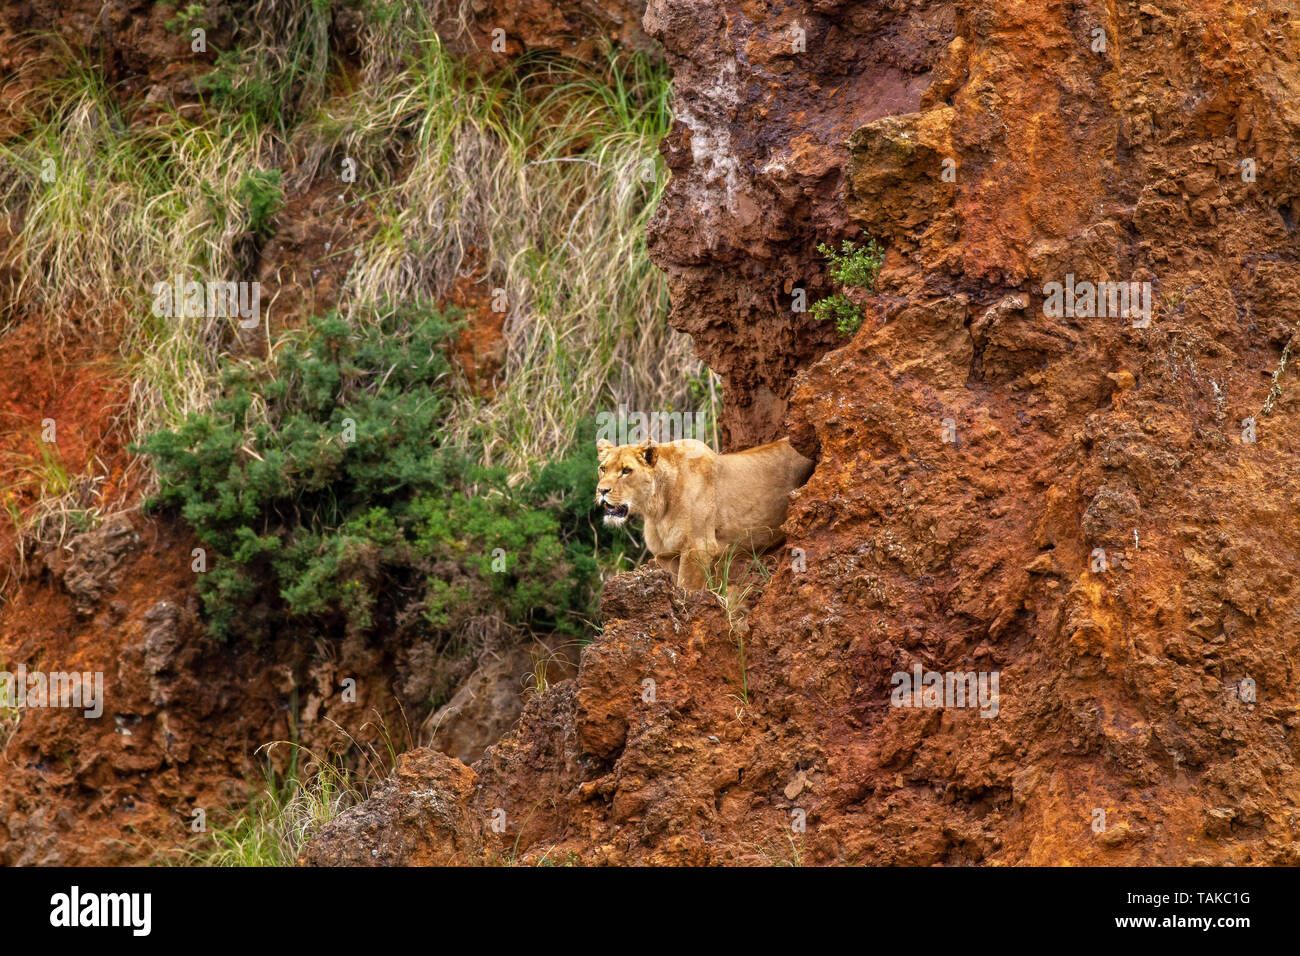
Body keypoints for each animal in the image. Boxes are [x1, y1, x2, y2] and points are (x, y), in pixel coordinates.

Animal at [595, 436, 814, 590]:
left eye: (626, 471)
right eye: (603, 468)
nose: (601, 490)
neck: (657, 508)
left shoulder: (698, 547)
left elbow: (687, 589)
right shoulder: (666, 556)